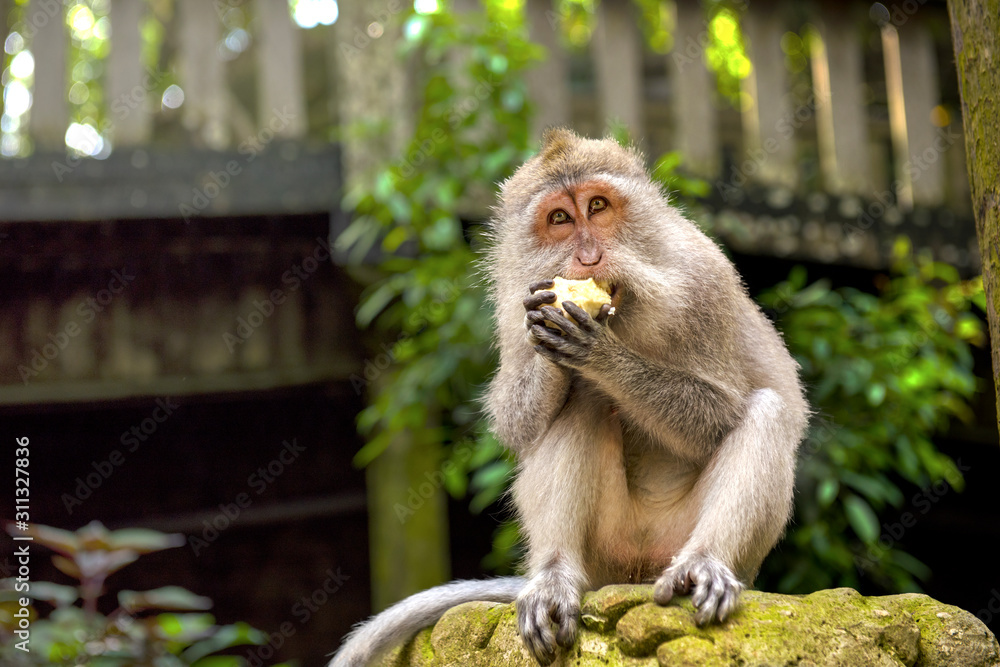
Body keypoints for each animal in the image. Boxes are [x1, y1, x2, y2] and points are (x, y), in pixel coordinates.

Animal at [328, 128, 808, 667]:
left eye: (597, 207)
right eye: (559, 218)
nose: (589, 258)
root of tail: (628, 575)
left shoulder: (705, 277)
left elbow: (718, 415)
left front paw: (599, 355)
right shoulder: (511, 297)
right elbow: (517, 426)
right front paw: (550, 348)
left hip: (687, 543)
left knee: (766, 411)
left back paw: (702, 565)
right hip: (604, 548)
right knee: (581, 404)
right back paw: (555, 578)